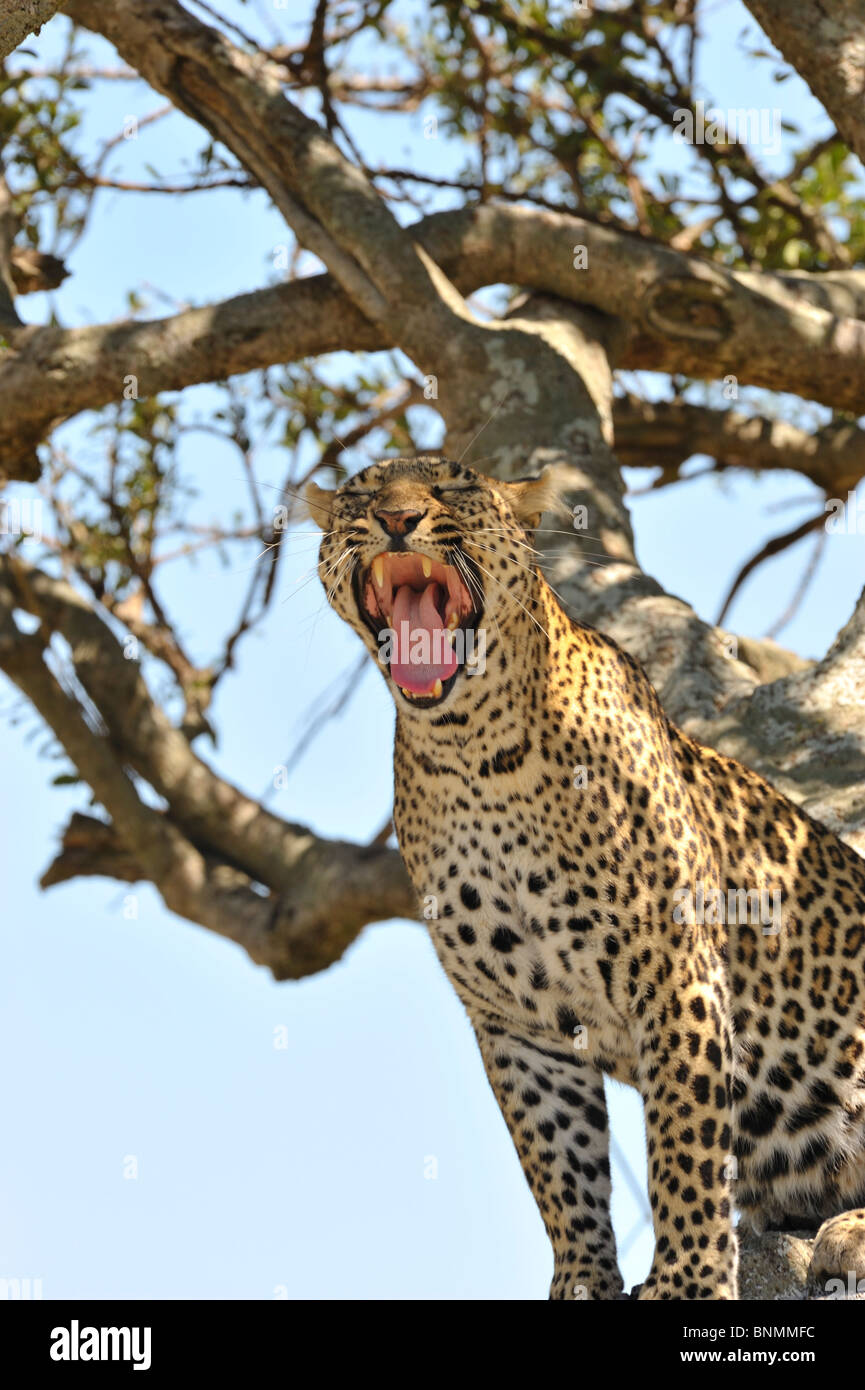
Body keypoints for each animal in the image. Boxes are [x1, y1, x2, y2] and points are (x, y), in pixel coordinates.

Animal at [307, 451, 865, 1300]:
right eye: (360, 492)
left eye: (450, 483)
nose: (396, 518)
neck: (472, 751)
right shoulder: (514, 1019)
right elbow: (558, 1164)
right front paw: (581, 1279)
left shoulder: (674, 969)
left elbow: (683, 1144)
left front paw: (689, 1277)